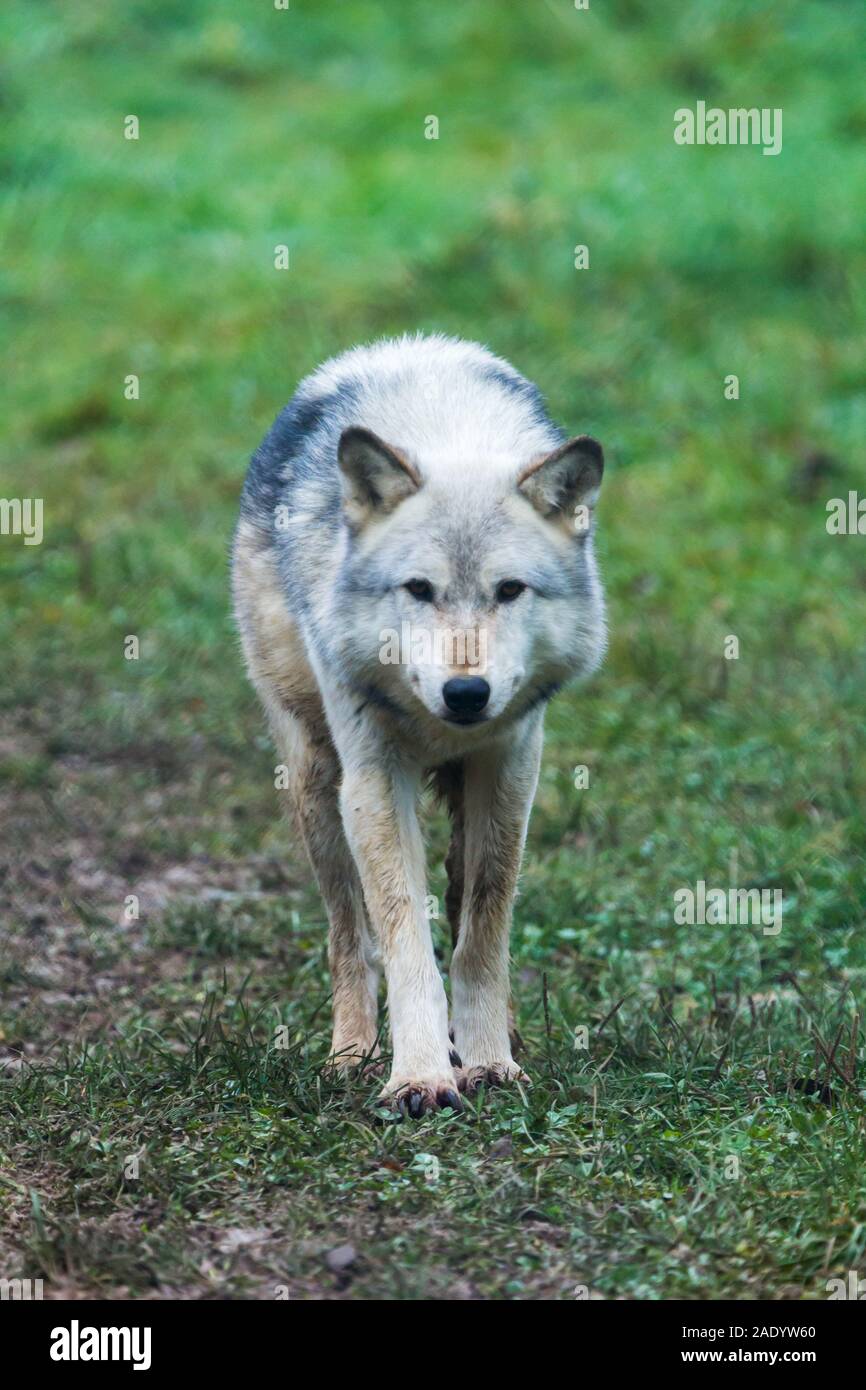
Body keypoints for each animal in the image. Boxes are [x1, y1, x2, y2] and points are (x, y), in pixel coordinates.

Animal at [232, 334, 605, 1117]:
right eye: (419, 589)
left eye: (509, 590)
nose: (465, 693)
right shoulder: (376, 781)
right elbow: (405, 940)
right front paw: (420, 1077)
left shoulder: (509, 769)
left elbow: (481, 935)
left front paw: (490, 1062)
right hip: (316, 785)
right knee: (349, 936)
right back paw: (351, 1055)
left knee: (462, 904)